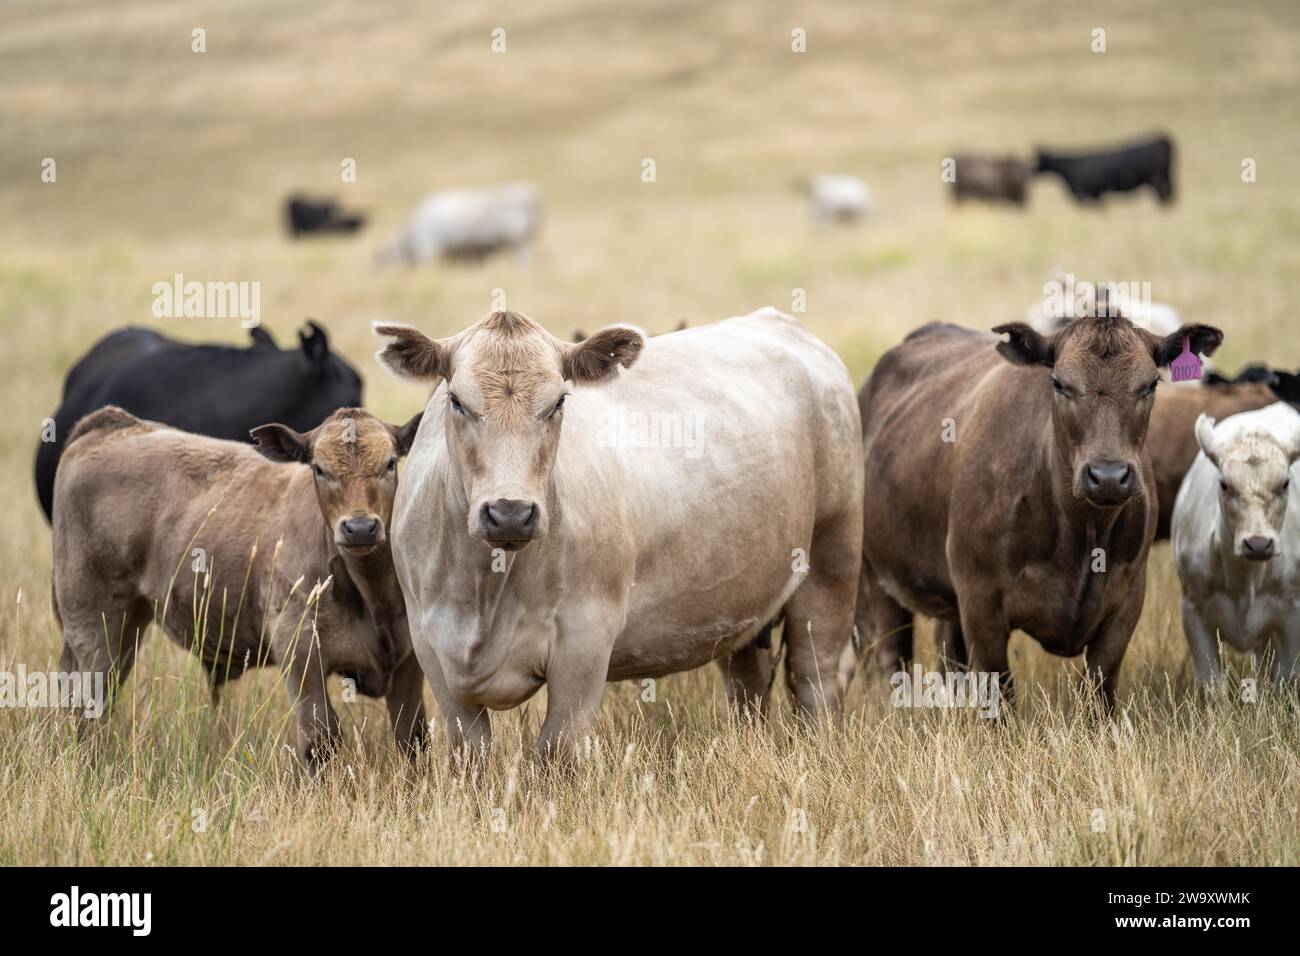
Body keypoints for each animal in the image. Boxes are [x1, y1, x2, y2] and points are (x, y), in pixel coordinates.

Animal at [51, 406, 426, 770]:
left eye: (390, 463)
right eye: (319, 469)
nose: (360, 528)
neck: (371, 593)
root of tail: (114, 423)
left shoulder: (409, 661)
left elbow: (413, 738)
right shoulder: (299, 651)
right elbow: (320, 739)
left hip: (127, 625)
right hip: (94, 625)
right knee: (89, 702)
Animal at [373, 308, 863, 759]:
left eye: (559, 402)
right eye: (456, 400)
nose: (510, 513)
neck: (483, 594)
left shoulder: (585, 642)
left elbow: (557, 750)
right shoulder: (433, 652)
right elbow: (470, 752)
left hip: (832, 561)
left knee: (817, 677)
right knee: (749, 684)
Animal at [856, 315, 1222, 710]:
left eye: (1151, 383)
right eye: (1059, 383)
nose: (1108, 476)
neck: (1081, 534)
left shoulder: (1126, 604)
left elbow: (1099, 692)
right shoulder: (980, 602)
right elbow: (998, 696)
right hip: (879, 576)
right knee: (892, 659)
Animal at [1172, 404, 1300, 689]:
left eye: (1285, 483)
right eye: (1225, 484)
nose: (1258, 545)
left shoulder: (1292, 616)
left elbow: (1286, 679)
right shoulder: (1193, 612)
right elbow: (1211, 683)